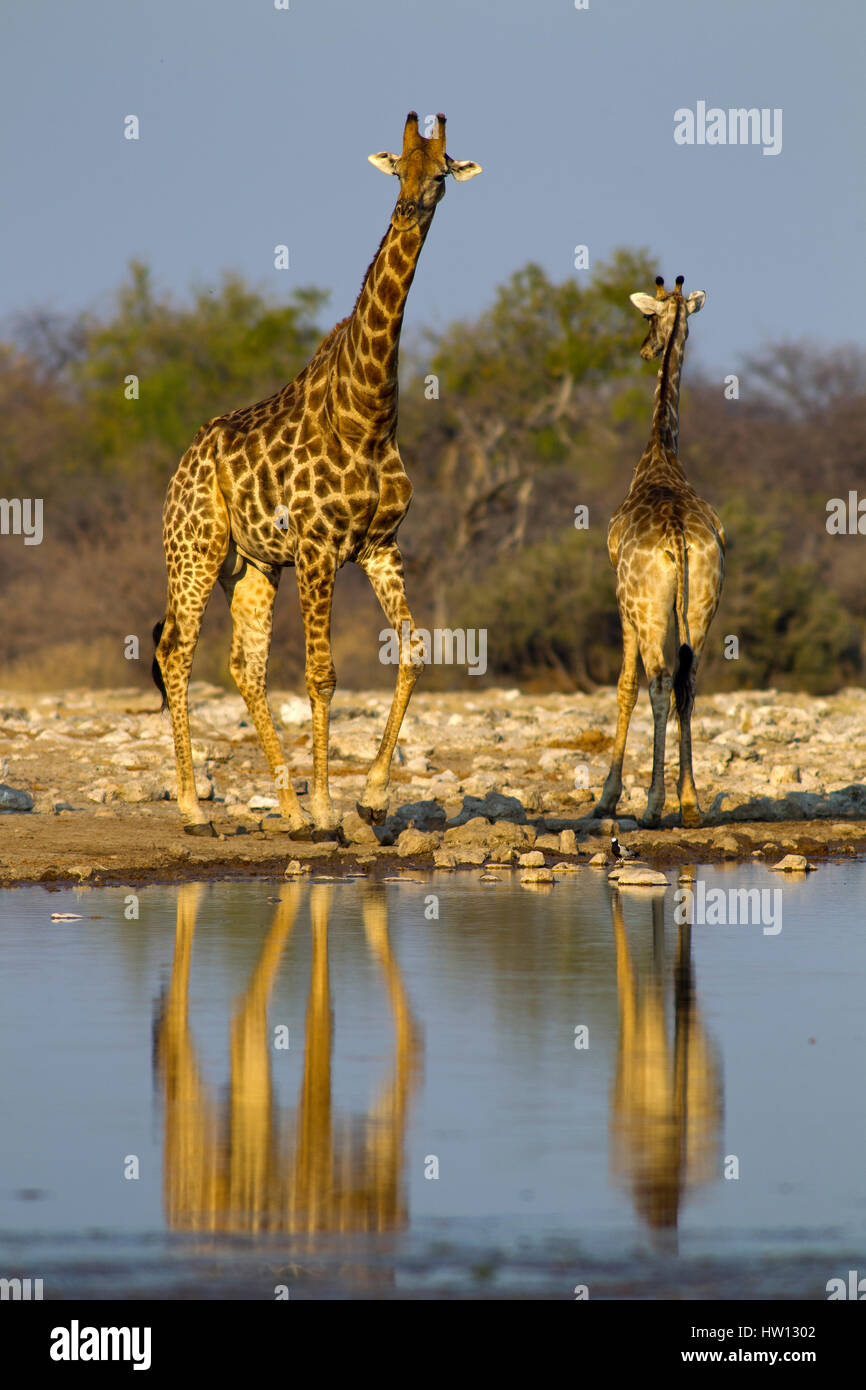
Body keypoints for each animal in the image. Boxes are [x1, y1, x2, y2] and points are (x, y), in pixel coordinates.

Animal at [152, 113, 481, 836]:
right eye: (399, 169)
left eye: (441, 174)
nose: (408, 209)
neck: (369, 414)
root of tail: (182, 464)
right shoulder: (317, 549)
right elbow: (322, 675)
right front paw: (333, 809)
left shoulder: (379, 546)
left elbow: (414, 650)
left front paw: (371, 797)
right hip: (196, 547)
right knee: (175, 650)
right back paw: (194, 809)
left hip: (251, 564)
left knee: (244, 665)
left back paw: (290, 810)